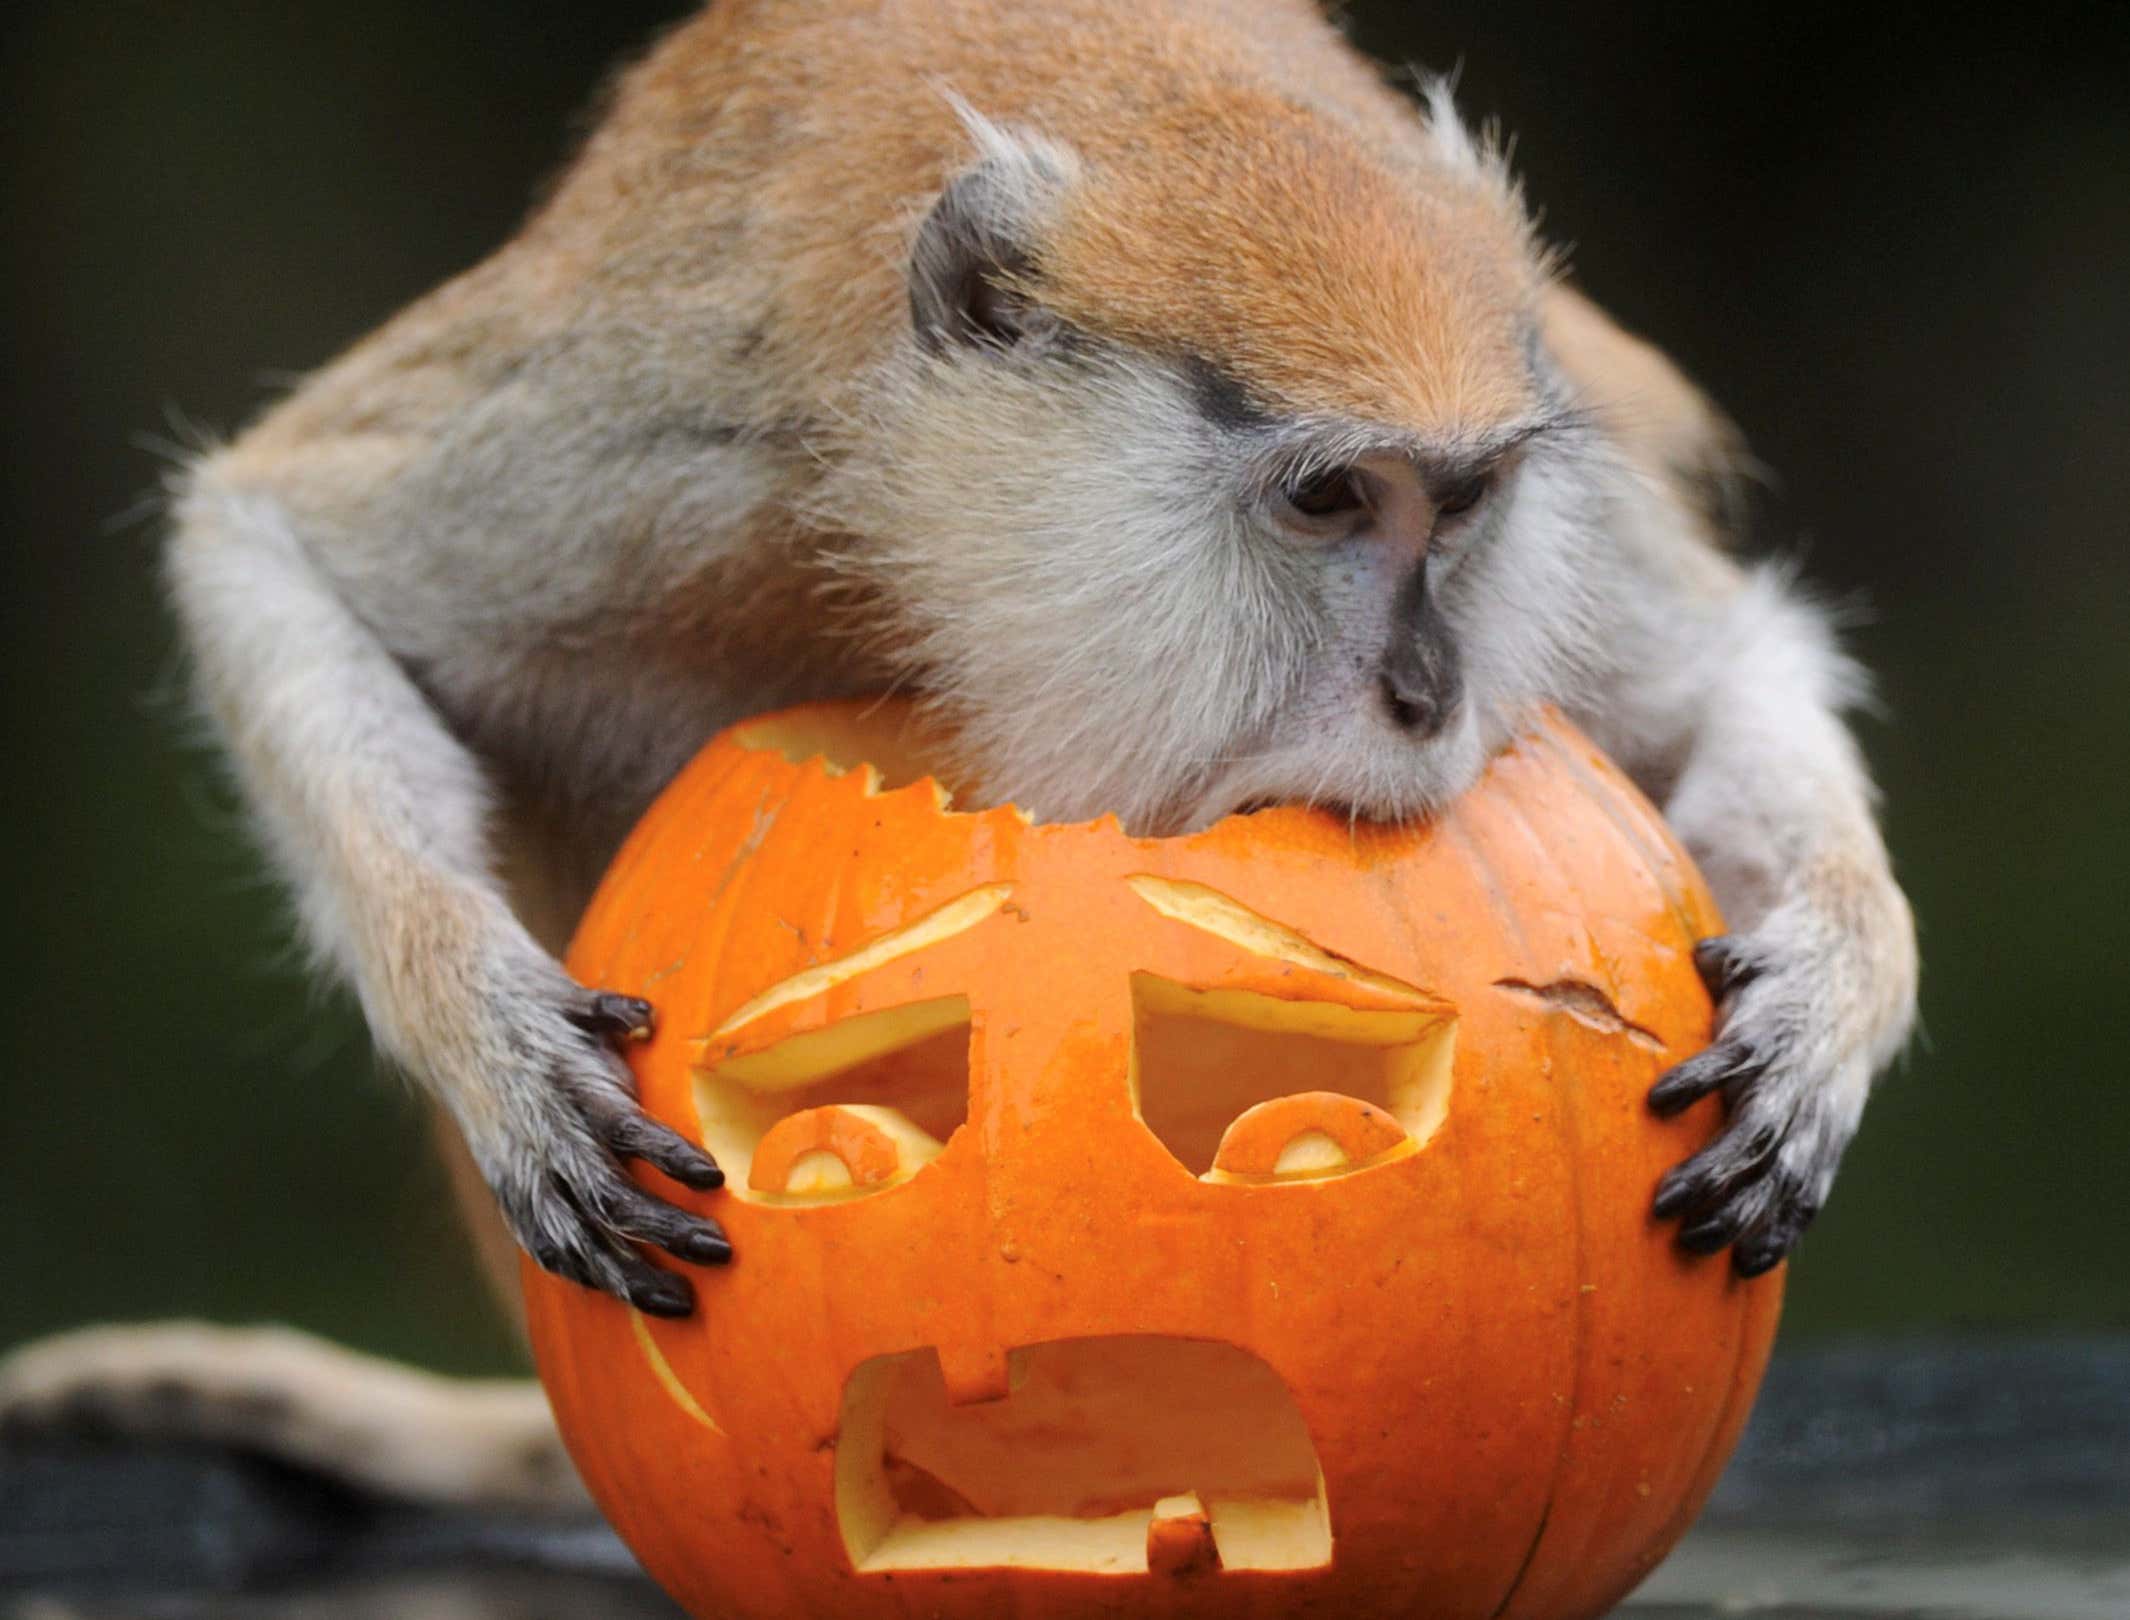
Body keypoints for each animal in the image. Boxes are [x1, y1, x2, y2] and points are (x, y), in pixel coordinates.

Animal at [0, 0, 1915, 1502]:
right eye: (1324, 502)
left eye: (1461, 505)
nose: (1428, 696)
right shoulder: (693, 425)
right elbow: (270, 544)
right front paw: (498, 1050)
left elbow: (1722, 668)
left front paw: (1825, 1004)